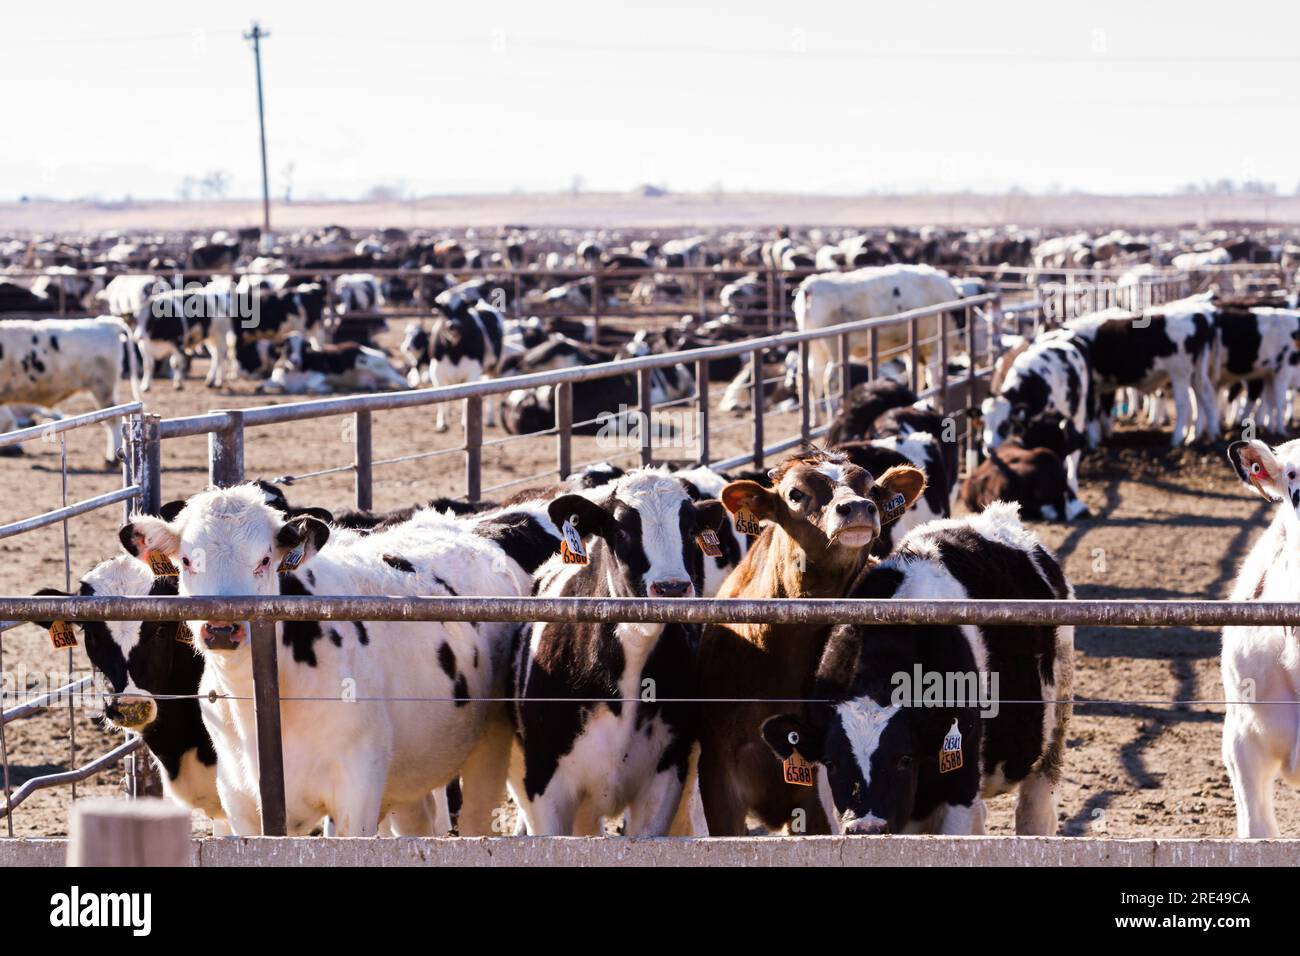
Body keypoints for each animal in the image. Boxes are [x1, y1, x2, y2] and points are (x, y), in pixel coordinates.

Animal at [760, 503, 1074, 834]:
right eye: (832, 762)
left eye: (905, 758)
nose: (866, 827)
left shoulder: (961, 789)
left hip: (1053, 736)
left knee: (1035, 811)